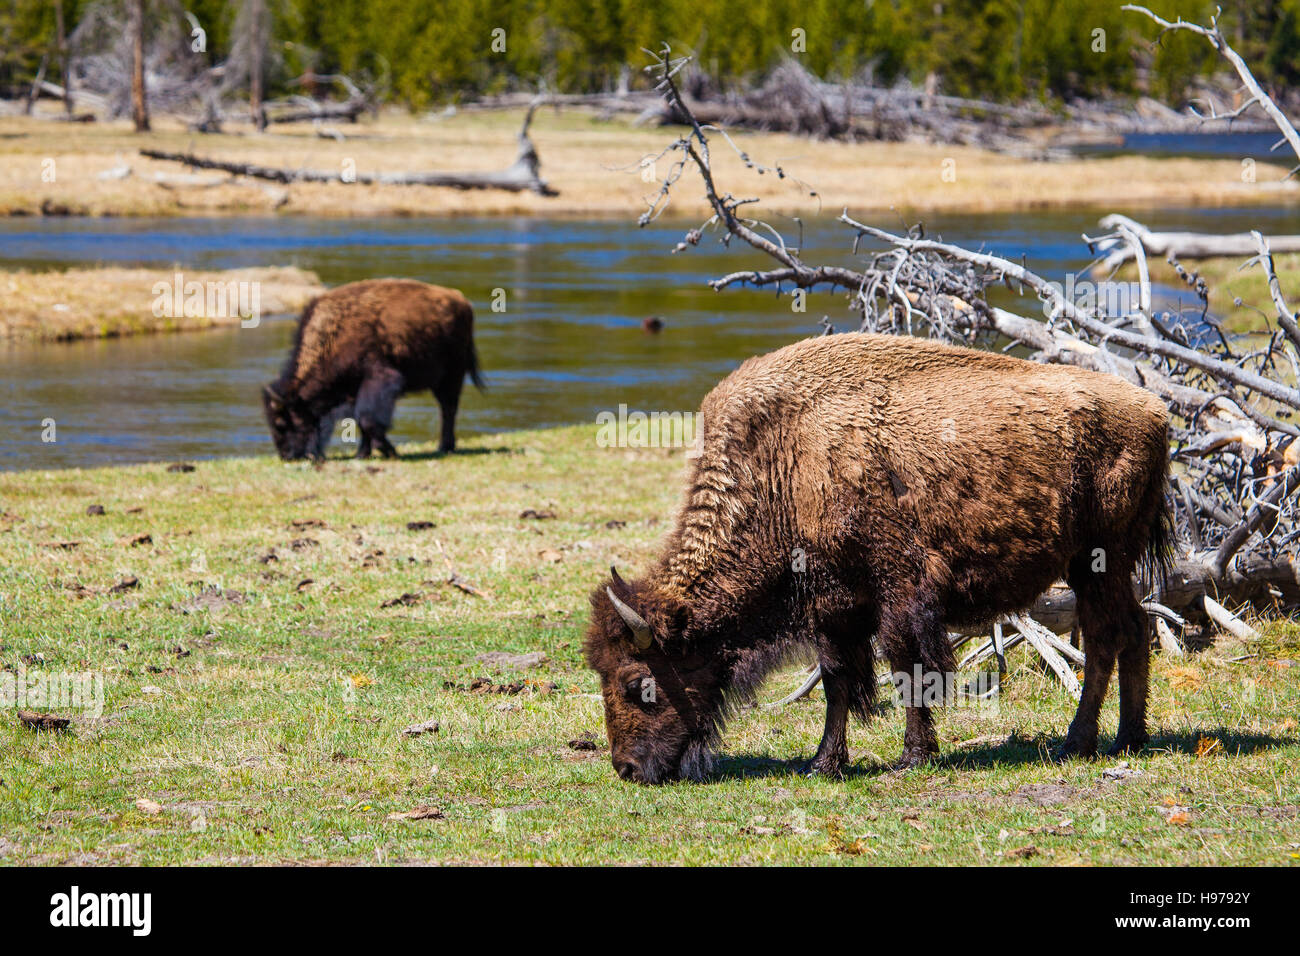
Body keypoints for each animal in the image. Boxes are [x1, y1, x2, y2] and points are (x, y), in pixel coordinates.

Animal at [262, 278, 483, 461]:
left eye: (281, 423)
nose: (287, 456)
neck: (333, 337)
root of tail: (462, 302)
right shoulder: (353, 392)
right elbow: (361, 422)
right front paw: (363, 454)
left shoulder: (379, 379)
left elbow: (367, 419)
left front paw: (388, 451)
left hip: (451, 375)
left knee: (448, 408)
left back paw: (445, 447)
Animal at [584, 332, 1171, 784]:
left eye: (638, 685)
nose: (627, 770)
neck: (780, 466)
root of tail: (1155, 411)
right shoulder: (834, 607)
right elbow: (839, 680)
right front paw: (824, 764)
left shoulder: (897, 593)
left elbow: (906, 668)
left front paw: (910, 758)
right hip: (1102, 565)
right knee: (1134, 627)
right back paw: (1128, 738)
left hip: (1099, 558)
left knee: (1107, 636)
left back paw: (1080, 742)